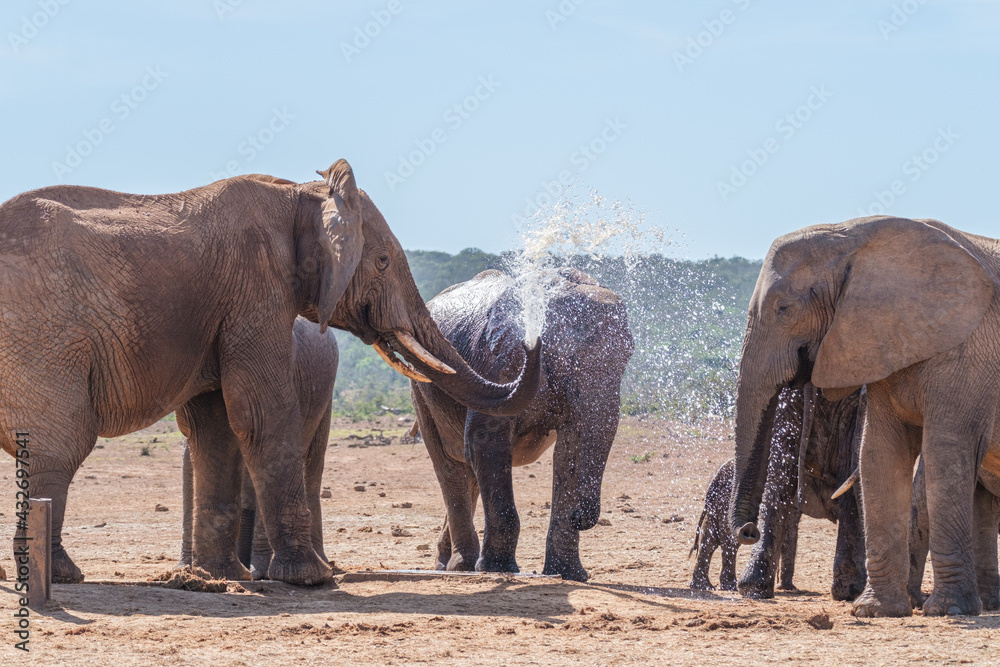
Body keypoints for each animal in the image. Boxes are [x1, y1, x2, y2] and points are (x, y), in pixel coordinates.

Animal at [410, 268, 633, 581]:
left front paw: (569, 575)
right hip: (421, 383)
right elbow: (485, 442)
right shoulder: (498, 362)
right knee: (450, 465)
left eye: (627, 358)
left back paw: (446, 562)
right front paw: (497, 569)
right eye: (566, 357)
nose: (579, 517)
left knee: (468, 472)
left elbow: (571, 450)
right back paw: (462, 566)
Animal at [729, 215, 1000, 617]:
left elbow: (945, 453)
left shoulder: (969, 347)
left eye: (783, 309)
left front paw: (948, 611)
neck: (853, 235)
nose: (747, 530)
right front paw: (875, 610)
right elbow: (878, 454)